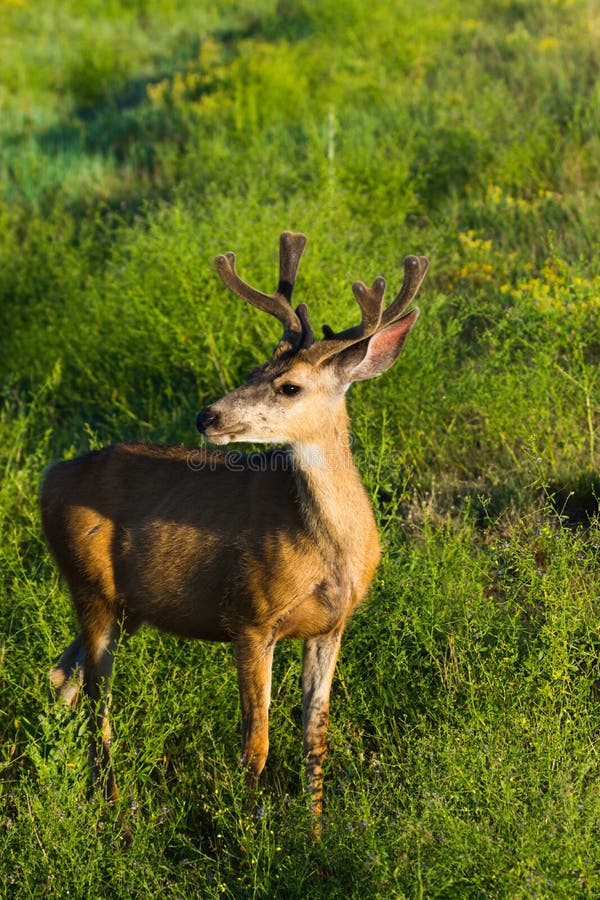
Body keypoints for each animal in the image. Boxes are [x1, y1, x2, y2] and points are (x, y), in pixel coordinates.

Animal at [42, 231, 428, 824]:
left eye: (288, 386)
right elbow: (256, 742)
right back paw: (113, 810)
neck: (326, 550)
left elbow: (315, 736)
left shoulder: (331, 626)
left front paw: (315, 831)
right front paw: (249, 831)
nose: (208, 416)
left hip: (127, 606)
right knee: (95, 696)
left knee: (63, 676)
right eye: (250, 372)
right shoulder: (248, 615)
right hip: (91, 589)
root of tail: (47, 477)